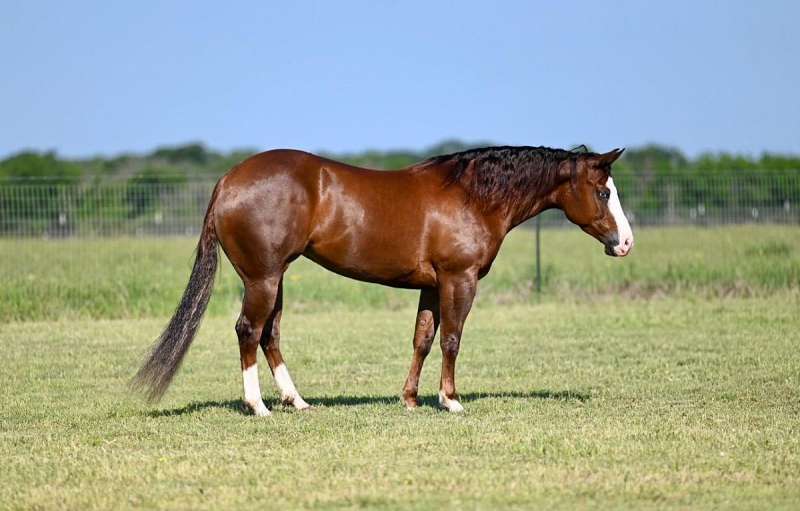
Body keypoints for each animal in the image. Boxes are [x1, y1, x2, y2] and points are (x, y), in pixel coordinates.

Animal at [132, 145, 633, 415]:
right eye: (603, 191)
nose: (625, 243)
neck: (473, 196)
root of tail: (228, 180)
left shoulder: (432, 286)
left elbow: (423, 339)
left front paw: (410, 399)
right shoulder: (459, 280)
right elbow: (452, 339)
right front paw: (450, 400)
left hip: (274, 279)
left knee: (270, 334)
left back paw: (297, 401)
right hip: (263, 278)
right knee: (248, 331)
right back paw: (259, 406)